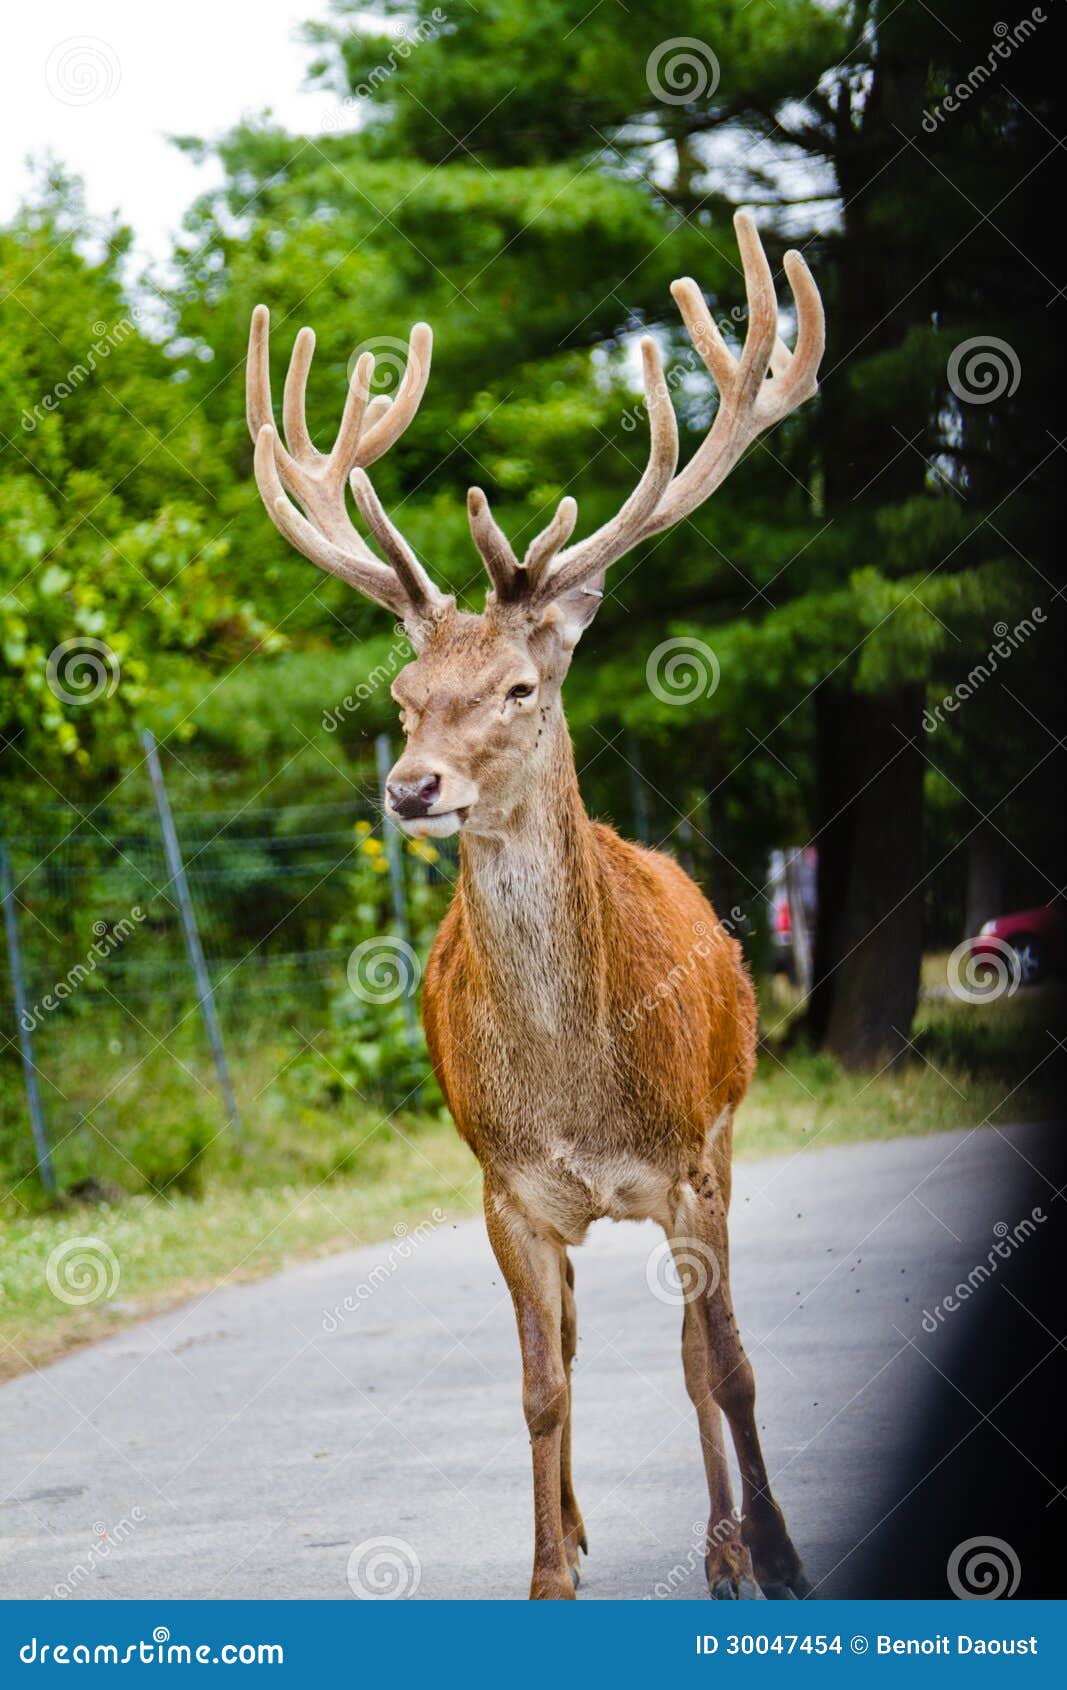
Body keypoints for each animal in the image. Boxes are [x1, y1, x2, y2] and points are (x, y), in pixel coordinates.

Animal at [246, 211, 824, 1601]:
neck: (578, 1088)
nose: (411, 785)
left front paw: (780, 1554)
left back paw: (723, 1543)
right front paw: (546, 1575)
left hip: (724, 1132)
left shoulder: (692, 1161)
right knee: (567, 1344)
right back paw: (589, 1528)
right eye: (404, 694)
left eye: (518, 686)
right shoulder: (505, 1190)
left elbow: (727, 1365)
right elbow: (538, 1386)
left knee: (690, 1358)